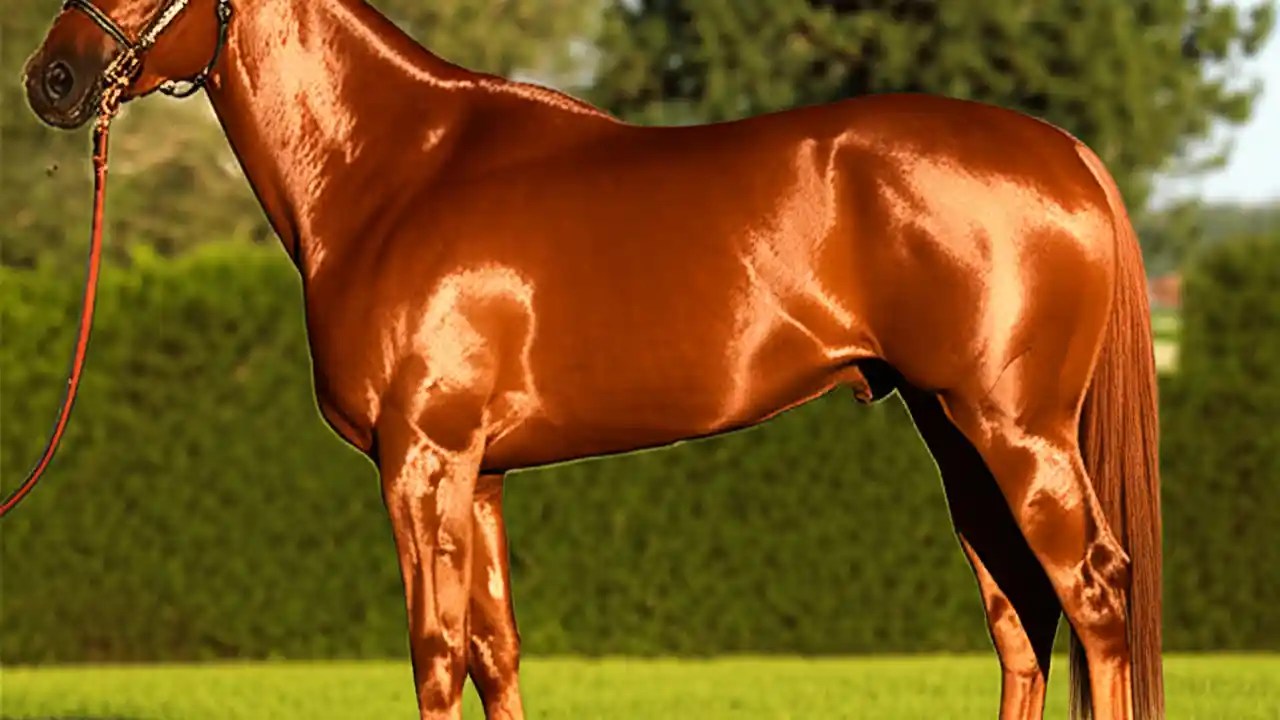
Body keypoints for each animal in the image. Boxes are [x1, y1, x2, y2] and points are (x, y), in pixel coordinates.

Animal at [22, 0, 1163, 718]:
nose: (51, 78)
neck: (394, 172)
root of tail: (1062, 152)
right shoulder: (476, 474)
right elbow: (493, 654)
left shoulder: (421, 460)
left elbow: (434, 655)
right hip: (957, 435)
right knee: (1020, 615)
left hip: (1016, 431)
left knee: (1094, 595)